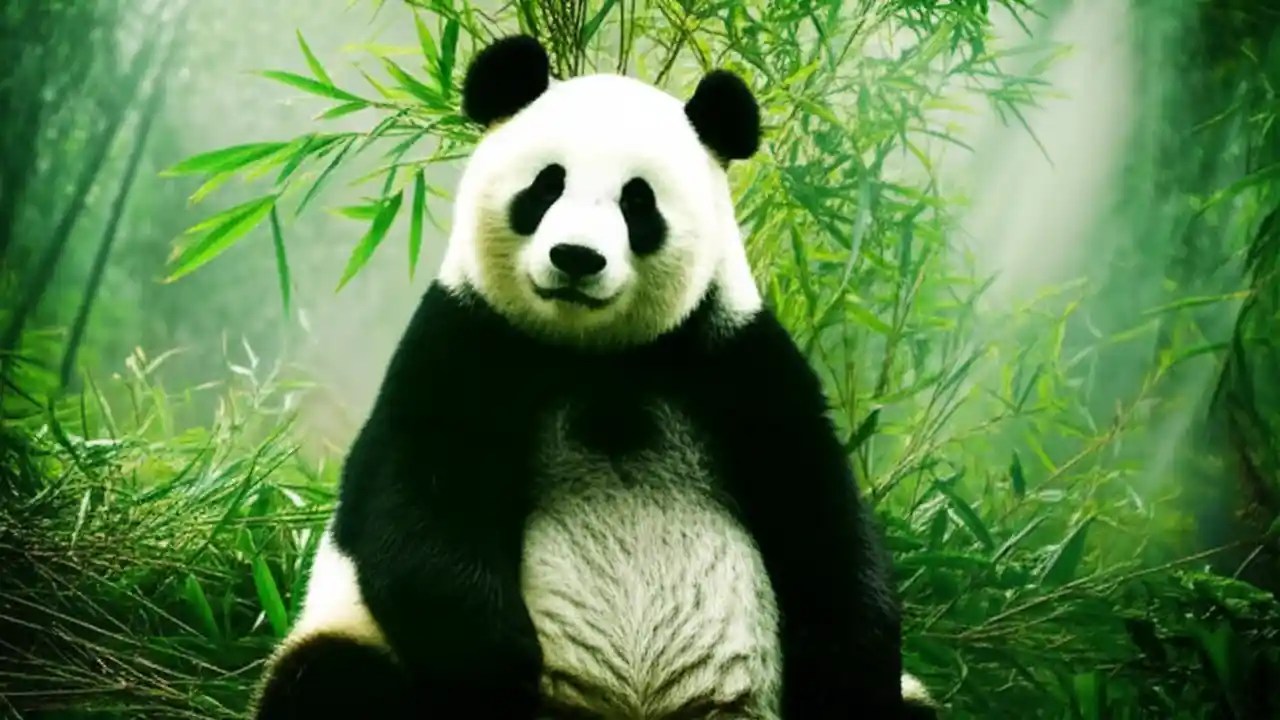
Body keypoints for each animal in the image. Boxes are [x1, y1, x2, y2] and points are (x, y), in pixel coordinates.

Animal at [251, 34, 939, 720]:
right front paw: (502, 669)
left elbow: (822, 522)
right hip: (350, 636)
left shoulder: (736, 361)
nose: (576, 257)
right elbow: (420, 512)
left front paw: (845, 677)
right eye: (545, 187)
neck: (598, 355)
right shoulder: (462, 344)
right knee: (333, 677)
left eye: (638, 202)